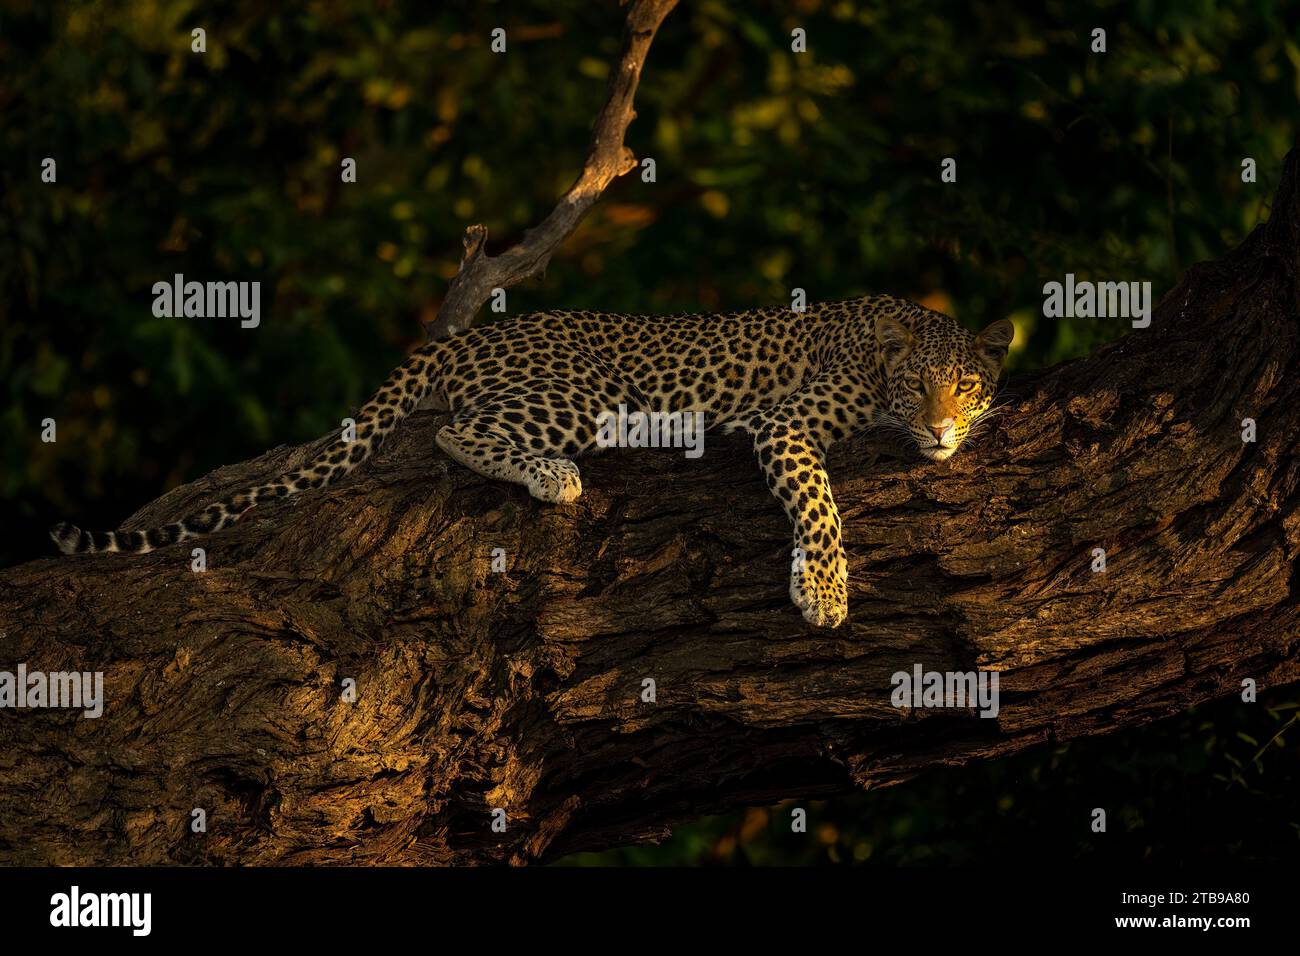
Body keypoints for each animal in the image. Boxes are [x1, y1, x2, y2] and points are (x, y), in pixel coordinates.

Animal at [50, 295, 1013, 629]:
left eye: (966, 387)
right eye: (919, 386)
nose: (940, 432)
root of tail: (469, 334)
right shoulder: (786, 424)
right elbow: (820, 507)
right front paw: (825, 591)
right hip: (586, 395)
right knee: (454, 434)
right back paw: (553, 476)